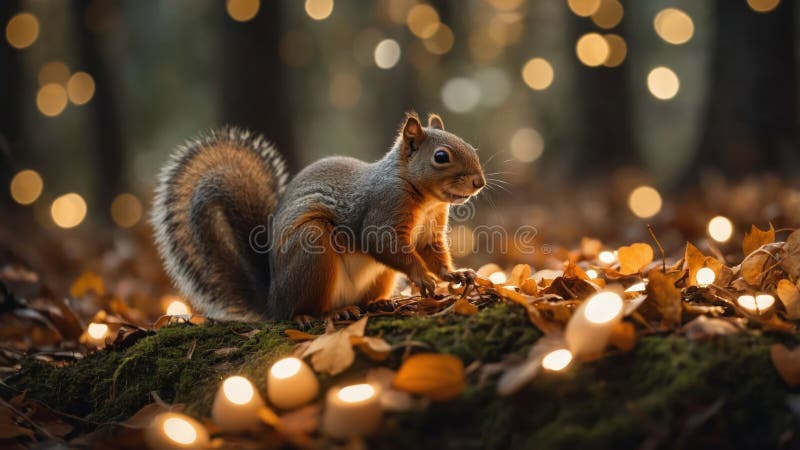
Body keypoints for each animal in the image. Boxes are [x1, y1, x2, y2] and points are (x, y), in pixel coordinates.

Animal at [151, 113, 486, 322]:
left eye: (471, 147)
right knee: (300, 310)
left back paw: (377, 302)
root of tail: (272, 301)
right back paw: (324, 314)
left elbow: (433, 252)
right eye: (441, 157)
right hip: (311, 250)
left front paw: (454, 274)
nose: (479, 182)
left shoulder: (430, 230)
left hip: (377, 276)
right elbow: (381, 243)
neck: (426, 199)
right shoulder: (383, 207)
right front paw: (423, 277)